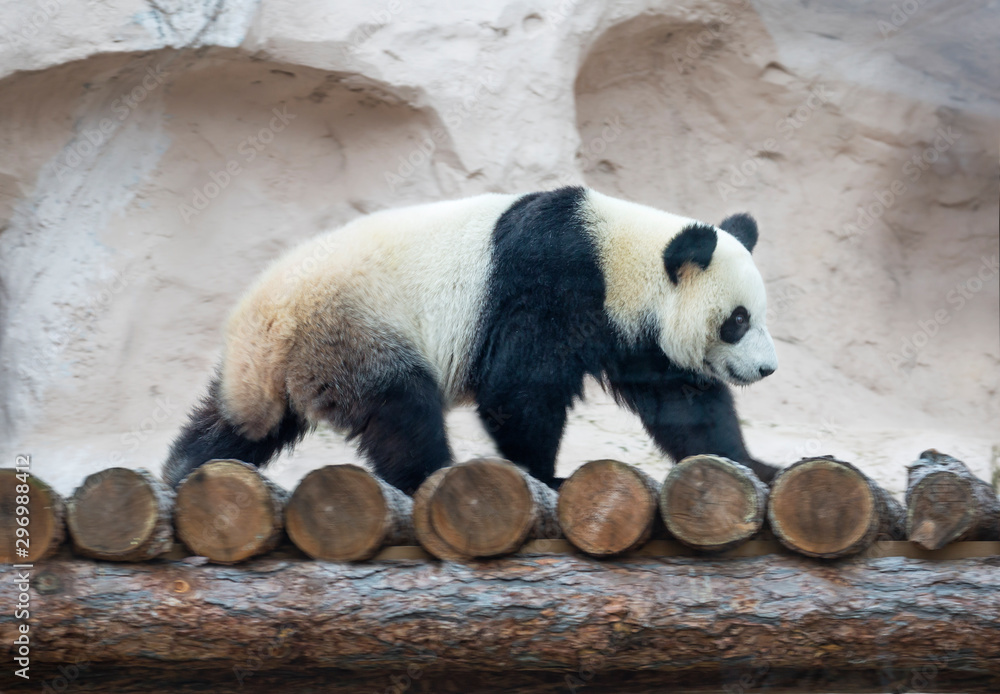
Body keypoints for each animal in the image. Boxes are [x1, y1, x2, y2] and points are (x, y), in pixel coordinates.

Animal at [163, 186, 778, 493]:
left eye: (757, 315)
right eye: (738, 320)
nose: (767, 370)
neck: (621, 253)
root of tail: (265, 325)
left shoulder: (632, 330)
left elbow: (684, 403)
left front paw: (754, 465)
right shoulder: (553, 283)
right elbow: (518, 390)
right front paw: (546, 476)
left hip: (288, 366)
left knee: (236, 425)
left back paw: (184, 468)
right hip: (356, 334)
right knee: (401, 410)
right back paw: (431, 475)